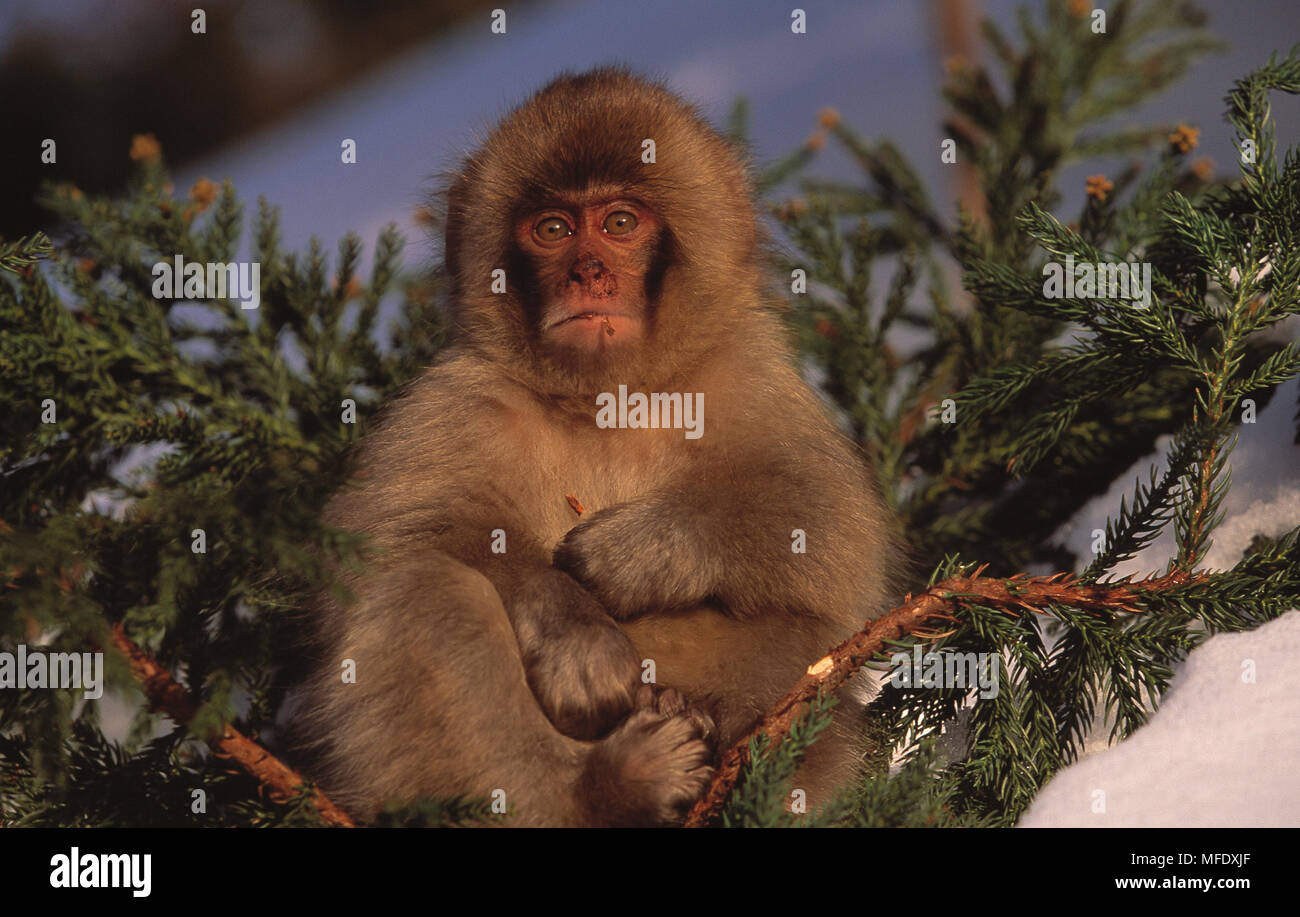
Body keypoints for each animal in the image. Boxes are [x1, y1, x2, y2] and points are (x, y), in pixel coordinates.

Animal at [292, 67, 899, 826]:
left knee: (803, 638)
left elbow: (834, 532)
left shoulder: (743, 370)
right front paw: (574, 632)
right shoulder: (465, 394)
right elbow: (389, 545)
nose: (586, 273)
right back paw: (606, 788)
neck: (606, 400)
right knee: (425, 595)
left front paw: (639, 551)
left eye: (619, 223)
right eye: (552, 229)